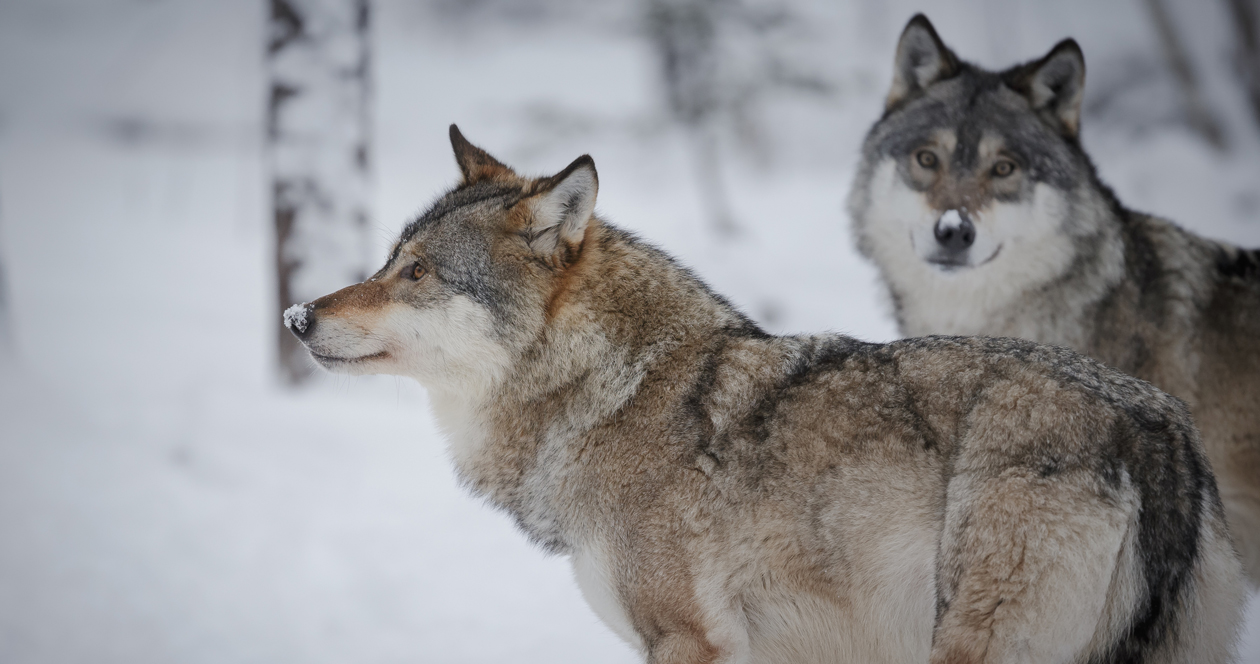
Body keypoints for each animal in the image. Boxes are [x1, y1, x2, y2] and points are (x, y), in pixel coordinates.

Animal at [285, 126, 1243, 663]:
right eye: (387, 259)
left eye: (417, 274)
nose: (296, 316)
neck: (607, 395)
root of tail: (1156, 429)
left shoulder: (689, 643)